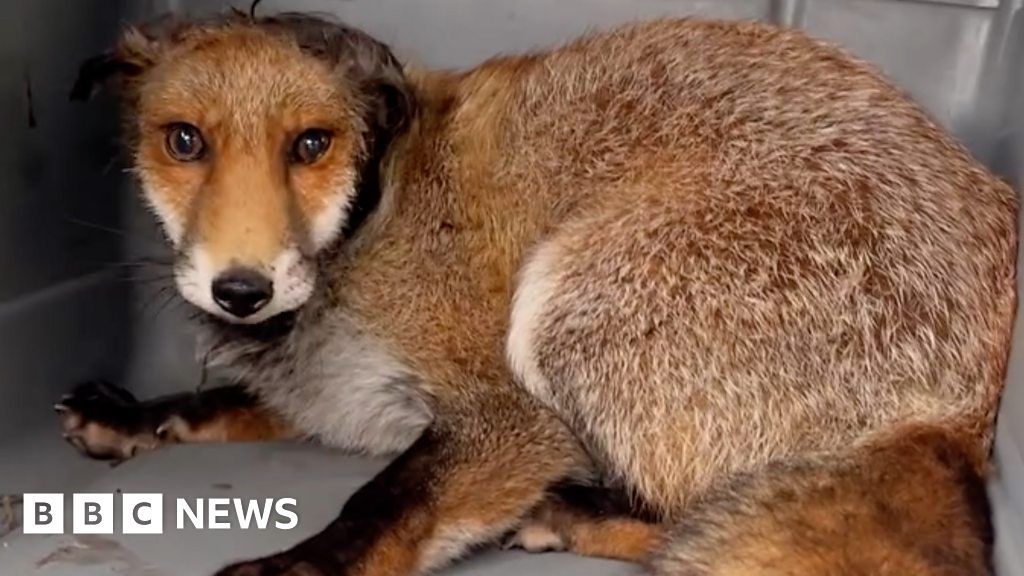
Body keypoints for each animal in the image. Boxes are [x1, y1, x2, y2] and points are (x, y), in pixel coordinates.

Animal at [59, 9, 1017, 576]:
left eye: (310, 144)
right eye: (184, 141)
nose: (242, 290)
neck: (374, 219)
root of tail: (960, 422)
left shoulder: (508, 415)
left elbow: (387, 501)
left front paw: (303, 567)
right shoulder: (348, 398)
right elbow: (226, 400)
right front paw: (140, 414)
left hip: (569, 307)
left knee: (680, 515)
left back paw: (567, 515)